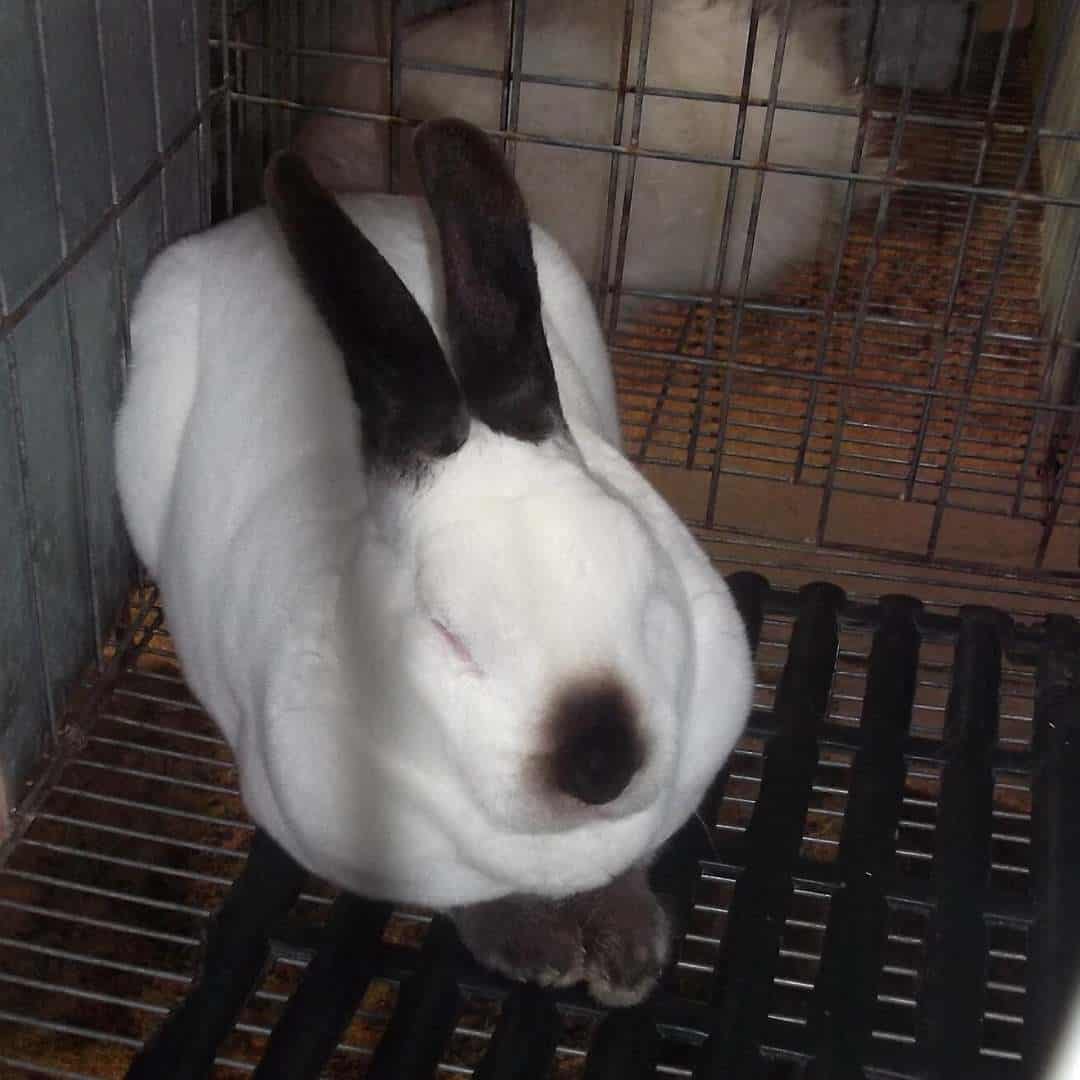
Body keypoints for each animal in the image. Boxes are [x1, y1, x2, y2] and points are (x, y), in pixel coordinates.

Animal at [114, 117, 753, 1004]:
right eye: (449, 635)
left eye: (652, 590)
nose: (602, 766)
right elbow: (468, 899)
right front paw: (535, 947)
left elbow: (629, 863)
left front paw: (628, 953)